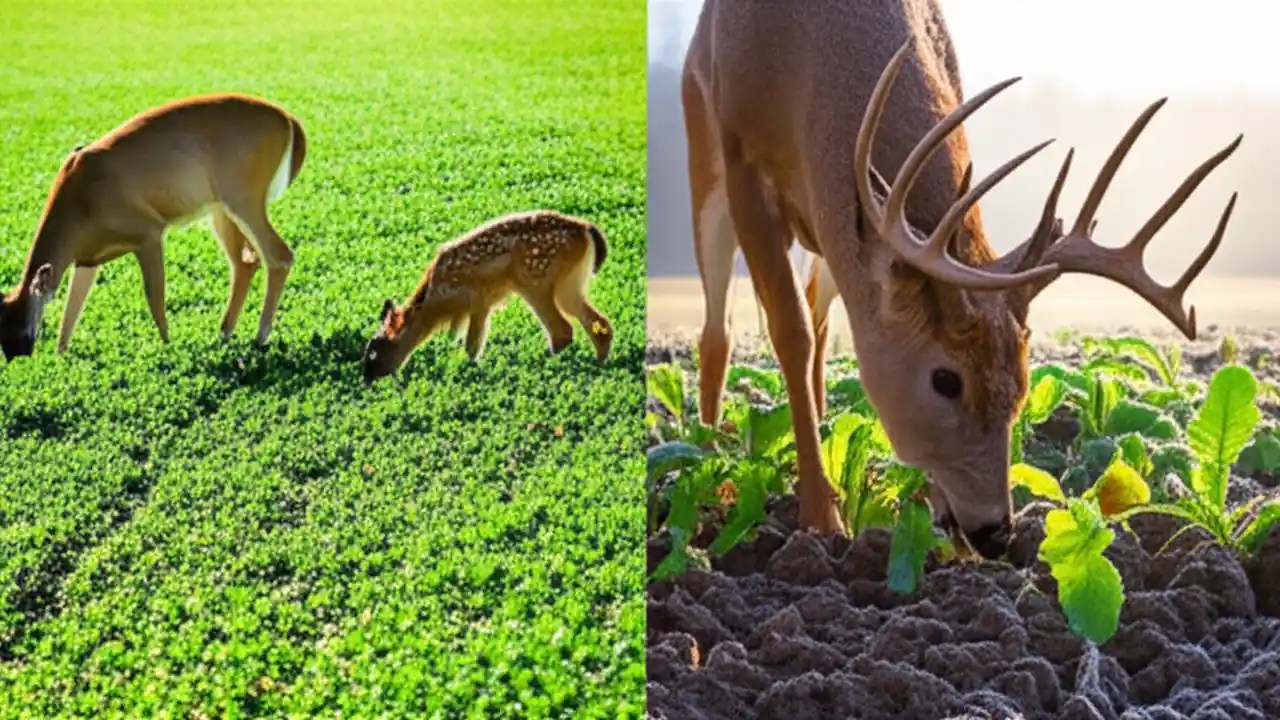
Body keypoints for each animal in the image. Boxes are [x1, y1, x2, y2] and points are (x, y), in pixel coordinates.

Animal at [0, 93, 306, 360]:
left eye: (20, 327)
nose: (17, 356)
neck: (80, 203)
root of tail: (291, 121)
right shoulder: (87, 258)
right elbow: (71, 308)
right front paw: (61, 354)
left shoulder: (148, 231)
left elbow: (154, 295)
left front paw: (167, 345)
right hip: (219, 208)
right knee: (245, 262)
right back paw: (224, 333)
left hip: (243, 195)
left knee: (279, 256)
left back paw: (259, 337)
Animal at [361, 210, 612, 383]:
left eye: (374, 350)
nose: (367, 378)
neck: (434, 302)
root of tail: (587, 230)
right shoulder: (481, 306)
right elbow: (474, 345)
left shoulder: (477, 299)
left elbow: (471, 346)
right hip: (570, 283)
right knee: (600, 323)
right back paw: (599, 362)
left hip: (536, 281)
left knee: (563, 330)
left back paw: (545, 364)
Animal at [682, 0, 1240, 557]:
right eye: (945, 380)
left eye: (1023, 383)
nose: (995, 533)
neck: (805, 47)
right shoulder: (741, 156)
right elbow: (788, 331)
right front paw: (822, 517)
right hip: (702, 149)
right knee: (719, 331)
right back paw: (703, 458)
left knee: (818, 311)